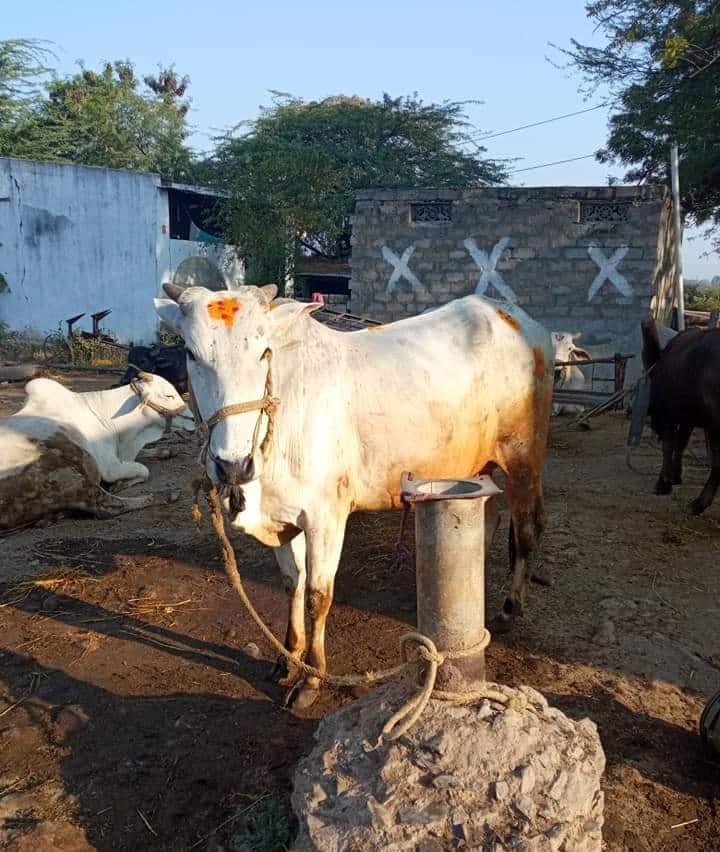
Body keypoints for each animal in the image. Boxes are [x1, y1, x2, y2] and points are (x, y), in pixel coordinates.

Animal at [0, 373, 195, 530]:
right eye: (169, 395)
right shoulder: (109, 467)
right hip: (69, 472)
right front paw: (119, 484)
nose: (193, 420)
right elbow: (144, 470)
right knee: (106, 506)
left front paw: (166, 450)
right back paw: (167, 495)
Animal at [155, 284, 554, 708]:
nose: (233, 465)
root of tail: (513, 317)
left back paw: (510, 609)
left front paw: (311, 679)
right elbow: (291, 584)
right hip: (475, 462)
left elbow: (317, 595)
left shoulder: (325, 518)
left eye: (263, 352)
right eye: (191, 353)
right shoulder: (283, 517)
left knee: (529, 528)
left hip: (523, 457)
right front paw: (288, 659)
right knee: (490, 516)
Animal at [641, 318, 720, 515]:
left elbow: (669, 445)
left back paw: (698, 503)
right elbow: (681, 443)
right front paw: (676, 475)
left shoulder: (669, 417)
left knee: (717, 464)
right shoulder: (686, 418)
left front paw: (663, 483)